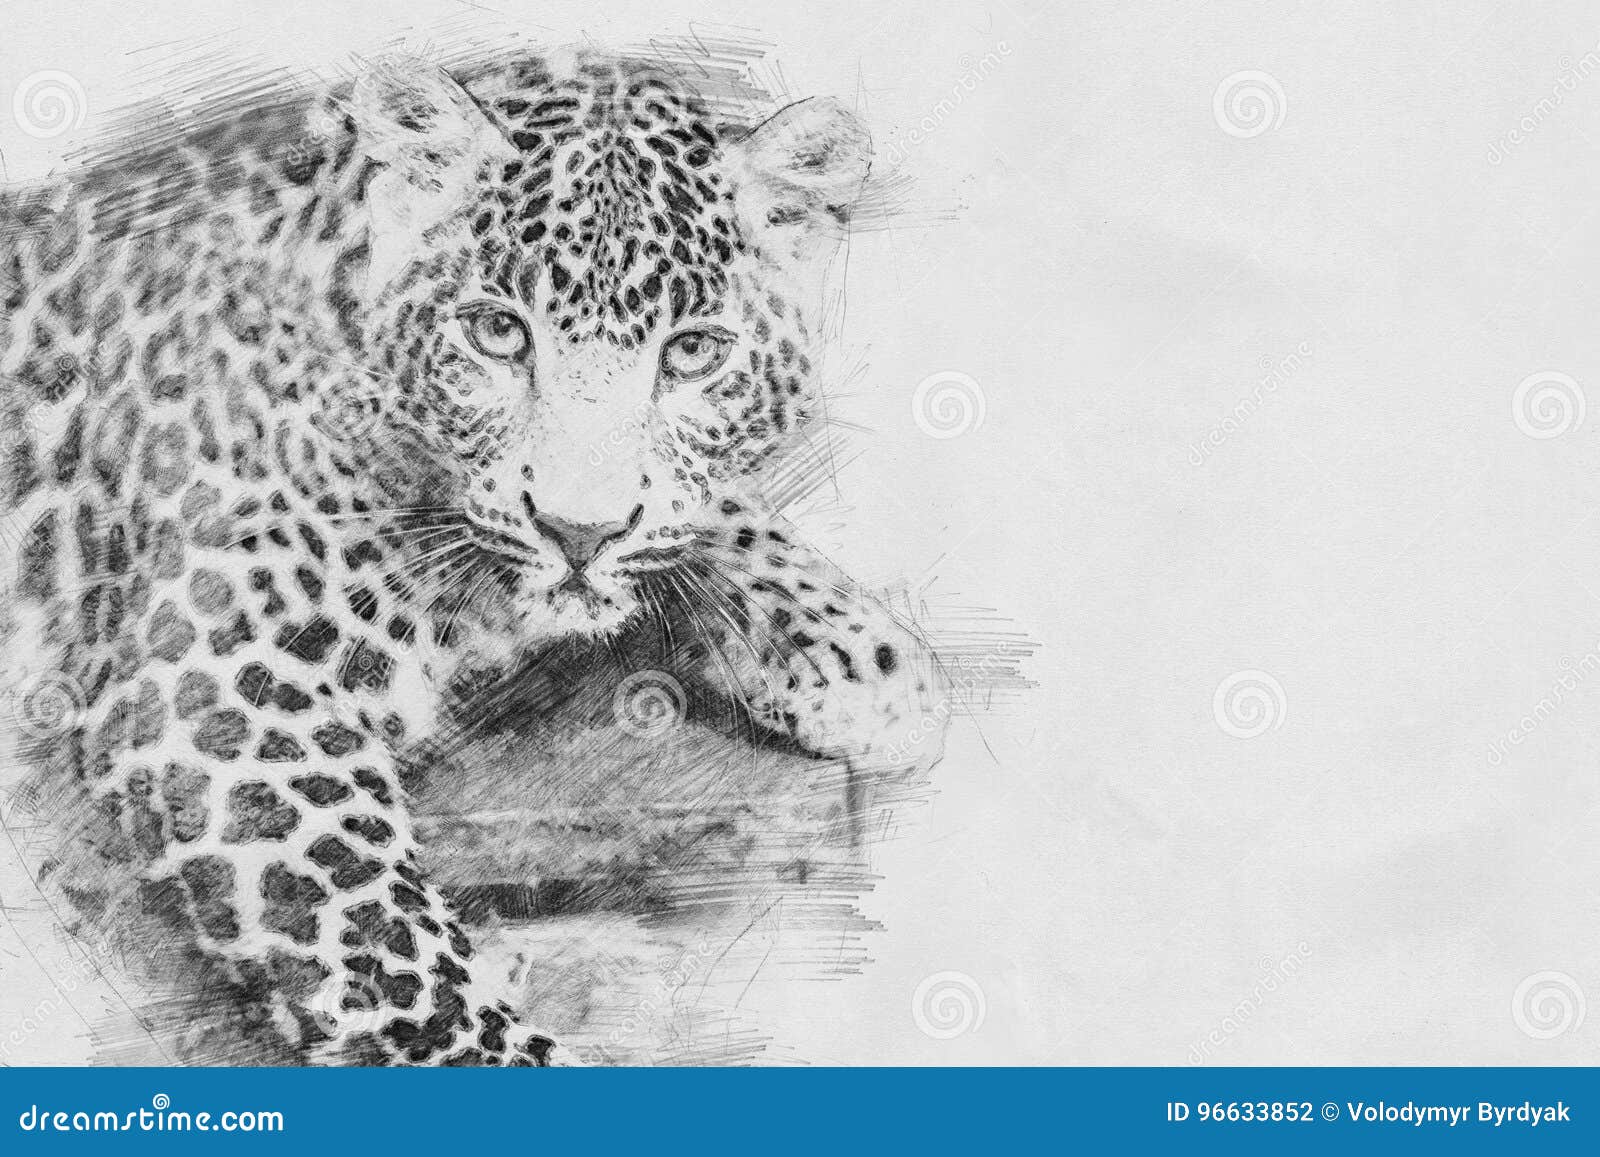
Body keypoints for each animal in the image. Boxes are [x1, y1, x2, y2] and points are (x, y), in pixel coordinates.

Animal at [0, 49, 948, 1066]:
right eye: (496, 332)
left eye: (694, 352)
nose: (578, 532)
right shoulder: (211, 673)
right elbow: (382, 940)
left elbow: (710, 513)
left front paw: (874, 662)